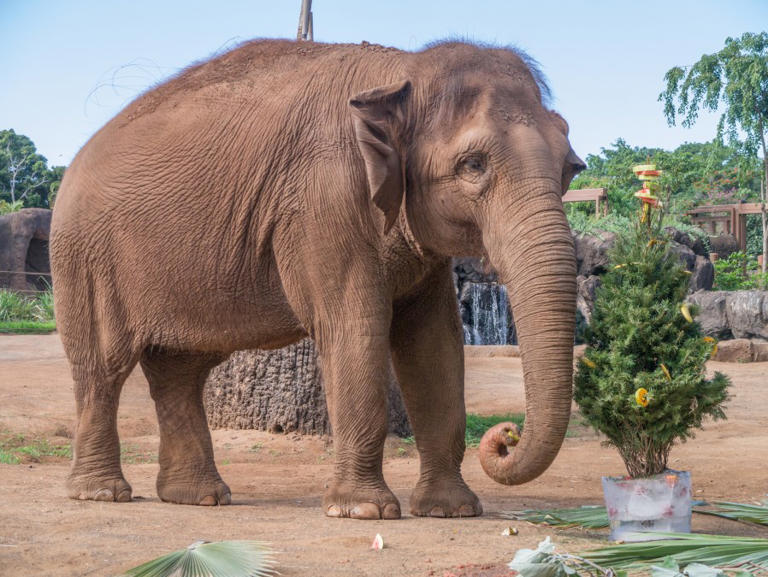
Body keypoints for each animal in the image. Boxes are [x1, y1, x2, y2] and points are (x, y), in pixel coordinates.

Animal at [50, 39, 585, 519]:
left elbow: (435, 344)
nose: (506, 434)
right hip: (85, 258)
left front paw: (450, 511)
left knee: (180, 369)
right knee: (104, 367)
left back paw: (198, 497)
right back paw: (102, 494)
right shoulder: (324, 202)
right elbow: (355, 329)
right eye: (473, 165)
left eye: (570, 169)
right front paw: (363, 511)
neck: (405, 70)